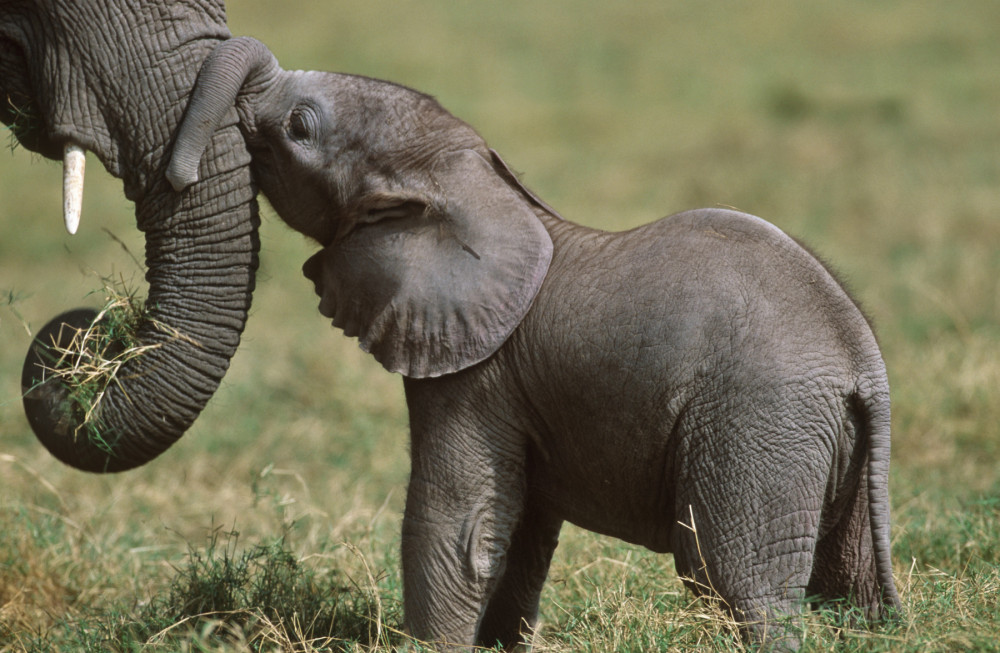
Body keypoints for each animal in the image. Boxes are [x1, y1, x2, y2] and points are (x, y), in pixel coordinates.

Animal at [168, 37, 902, 650]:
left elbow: (456, 526)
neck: (479, 185)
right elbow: (520, 536)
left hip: (759, 424)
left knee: (734, 580)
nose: (178, 175)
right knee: (850, 586)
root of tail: (860, 358)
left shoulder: (476, 374)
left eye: (300, 127)